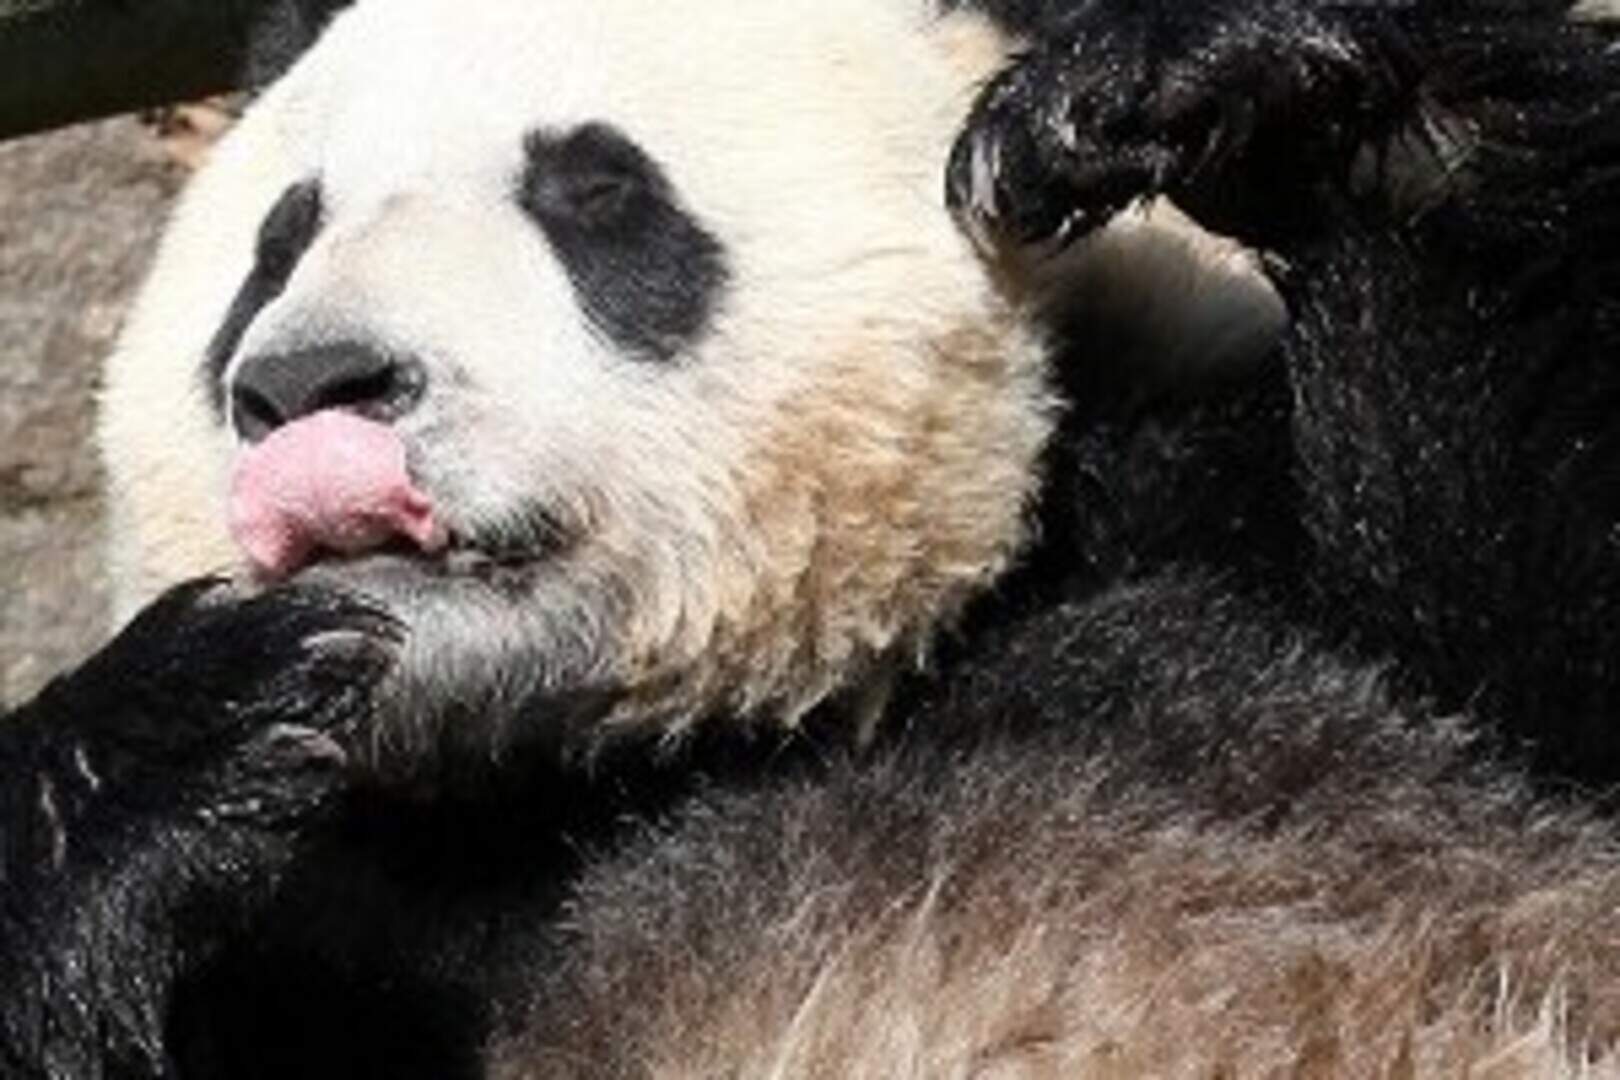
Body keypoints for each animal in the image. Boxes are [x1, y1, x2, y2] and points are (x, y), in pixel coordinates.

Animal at [5, 0, 1620, 1075]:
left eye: (595, 192)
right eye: (277, 242)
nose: (307, 384)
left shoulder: (1195, 522)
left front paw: (1258, 88)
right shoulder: (338, 918)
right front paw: (177, 726)